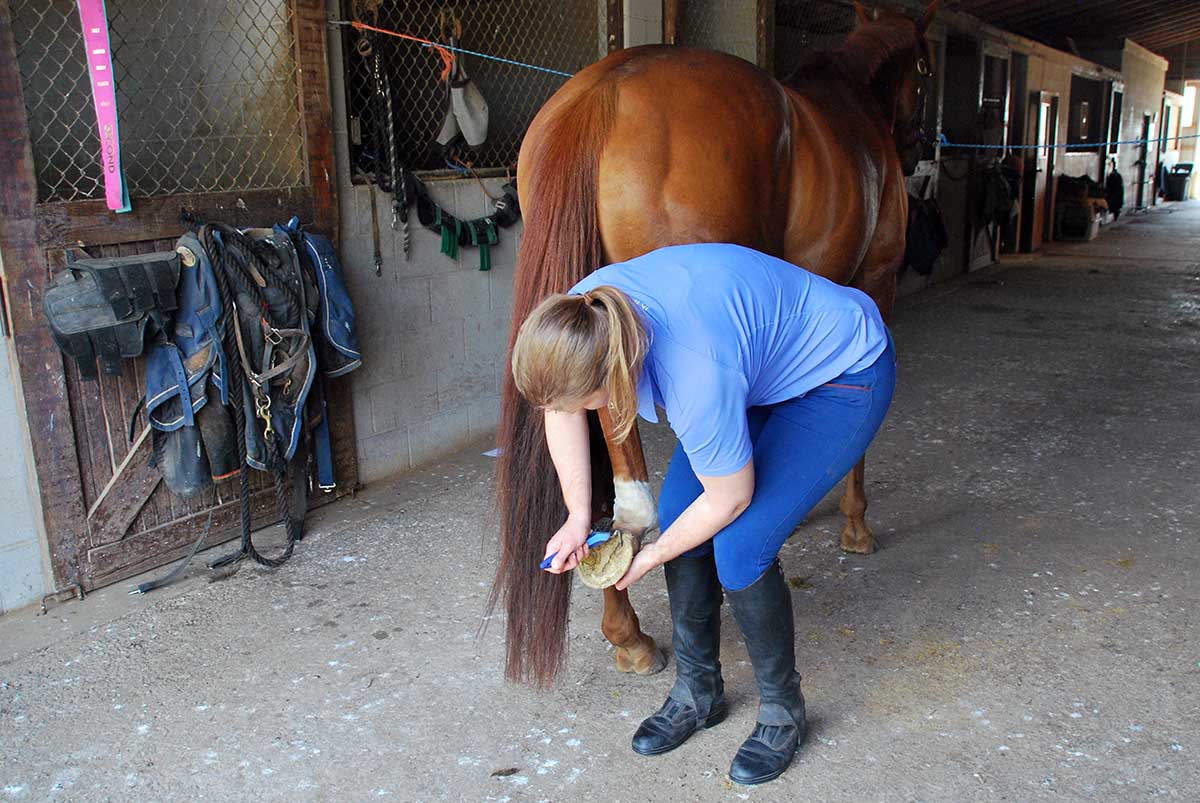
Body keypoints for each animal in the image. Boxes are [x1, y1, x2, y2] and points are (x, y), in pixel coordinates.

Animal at [490, 1, 940, 687]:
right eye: (926, 68)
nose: (921, 150)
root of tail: (599, 94)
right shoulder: (875, 283)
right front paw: (855, 523)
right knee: (633, 498)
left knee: (600, 489)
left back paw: (627, 632)